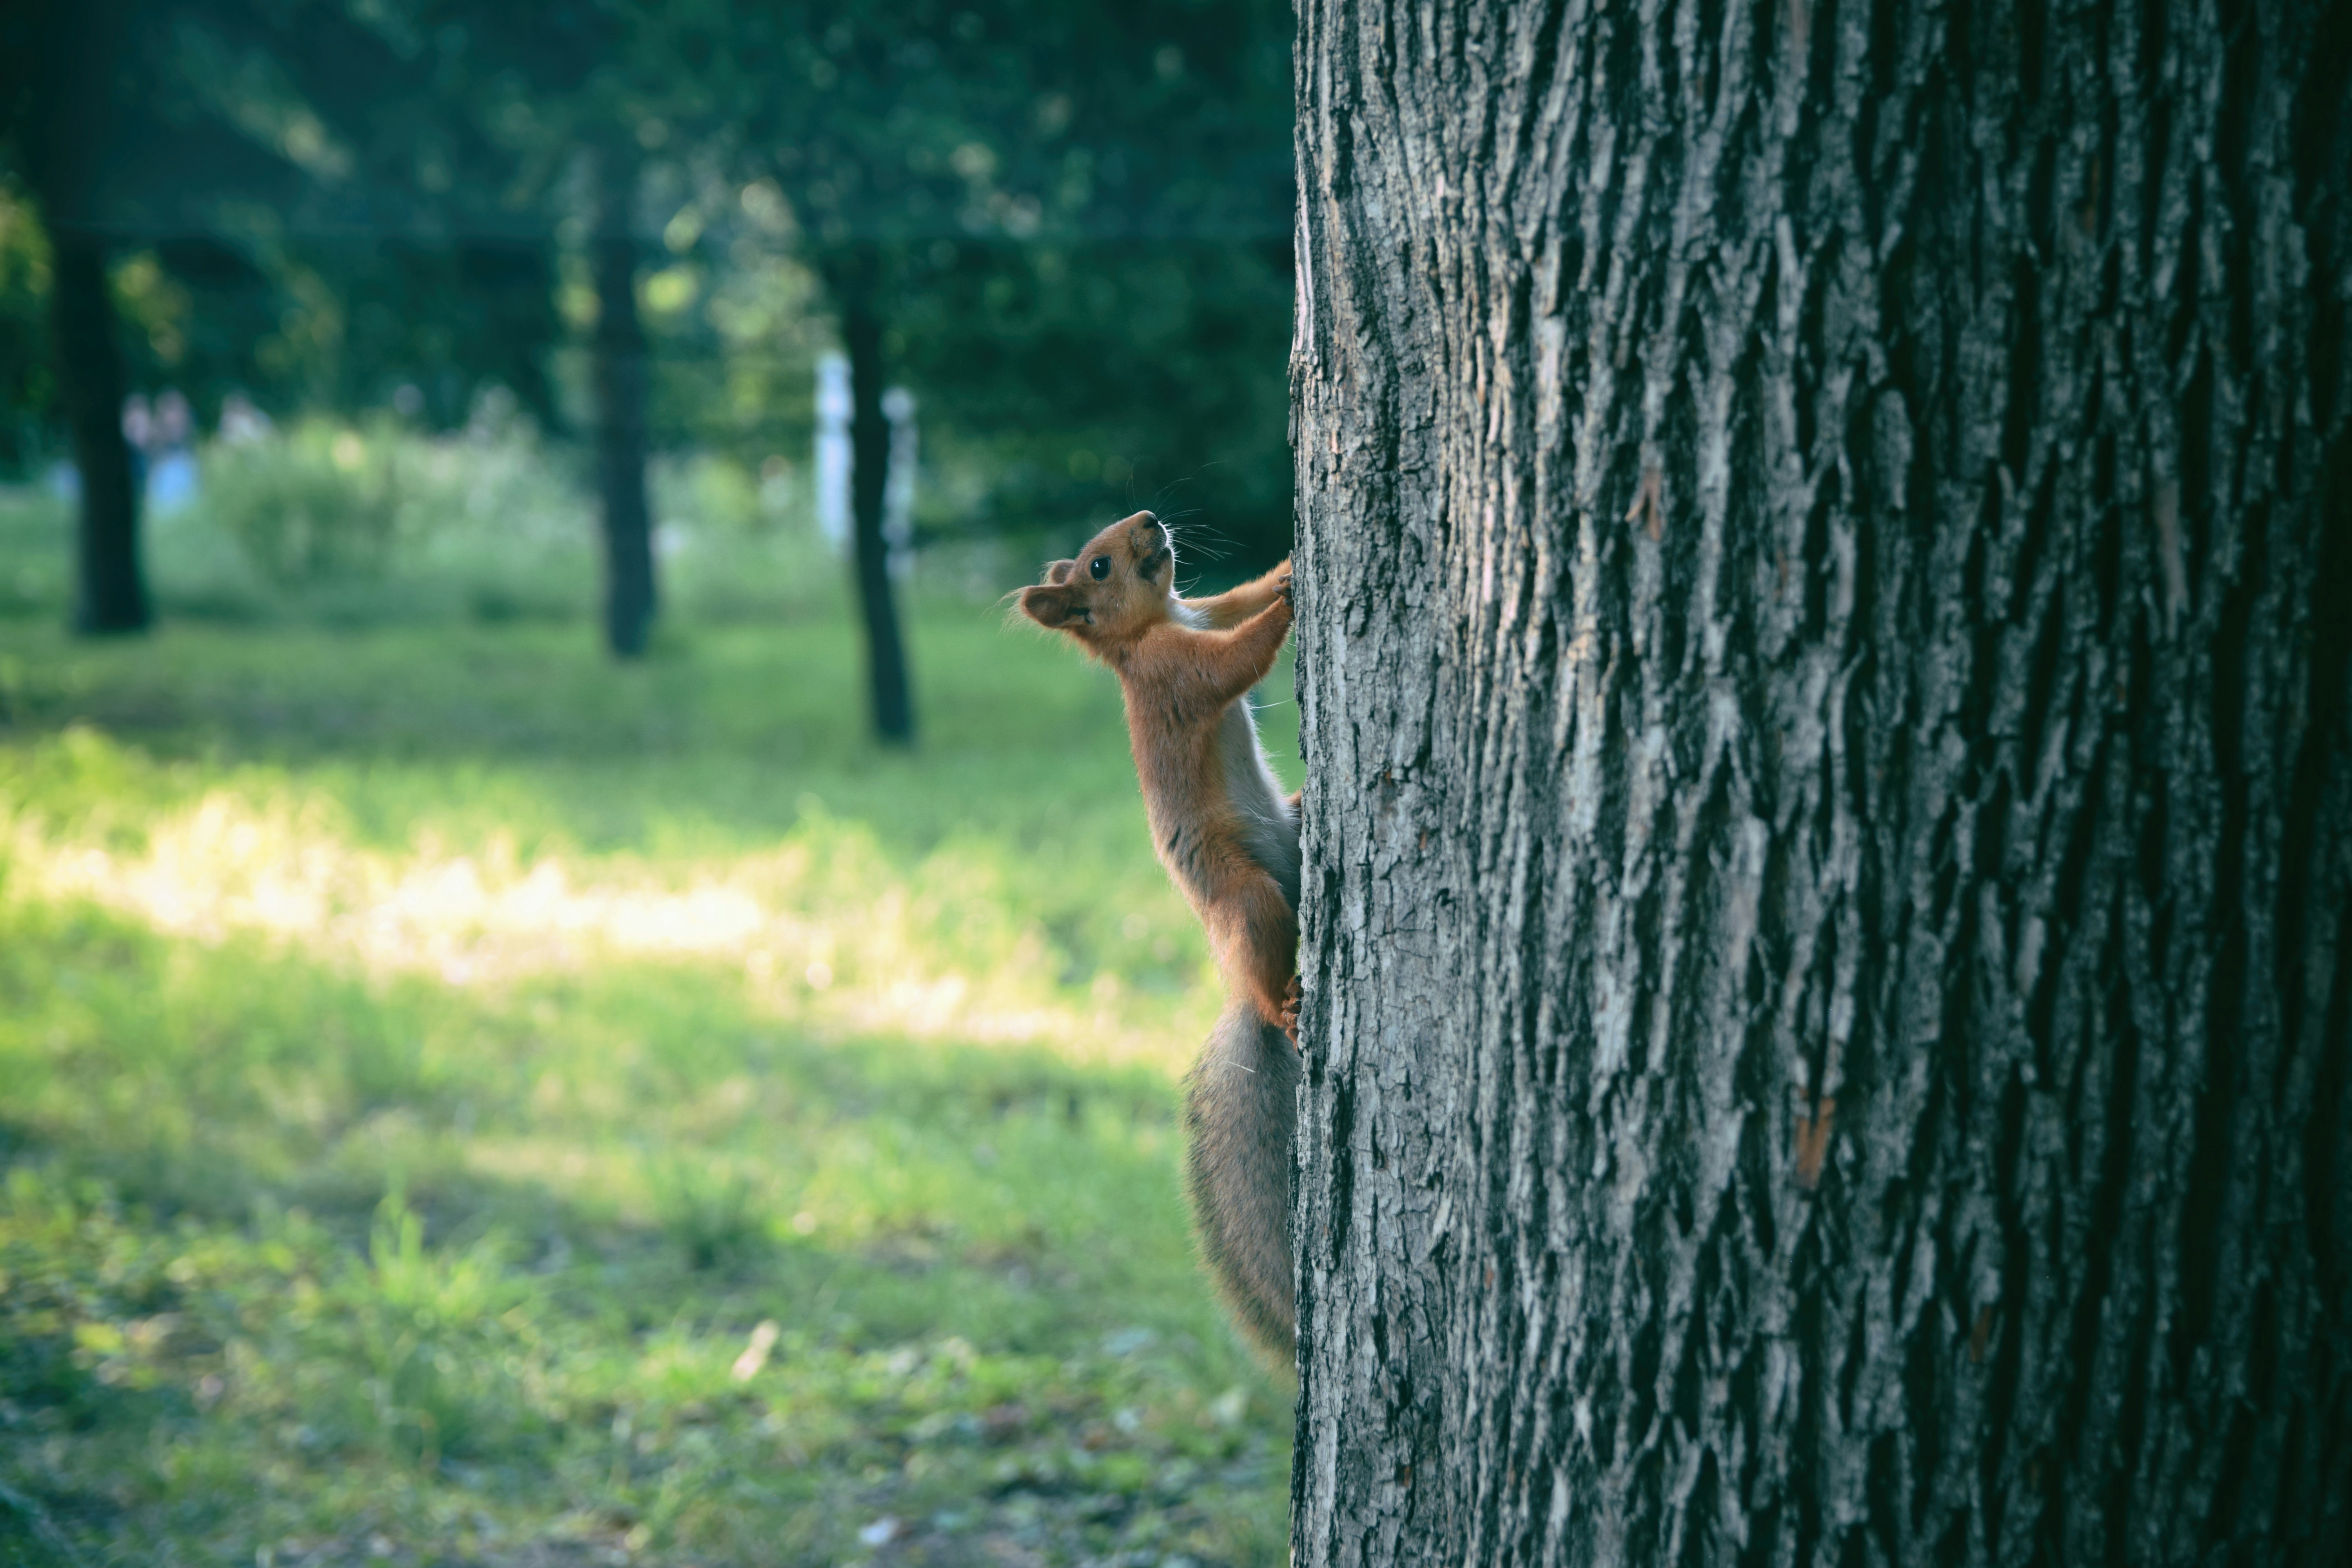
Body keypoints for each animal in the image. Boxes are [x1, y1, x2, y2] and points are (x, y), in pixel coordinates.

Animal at [1018, 510, 1301, 1364]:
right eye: (1099, 567)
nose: (1149, 519)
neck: (1156, 626)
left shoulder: (1200, 611)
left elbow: (1235, 598)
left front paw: (1285, 568)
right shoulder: (1176, 675)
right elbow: (1236, 664)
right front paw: (1290, 605)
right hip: (1247, 898)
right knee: (1264, 968)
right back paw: (1283, 1007)